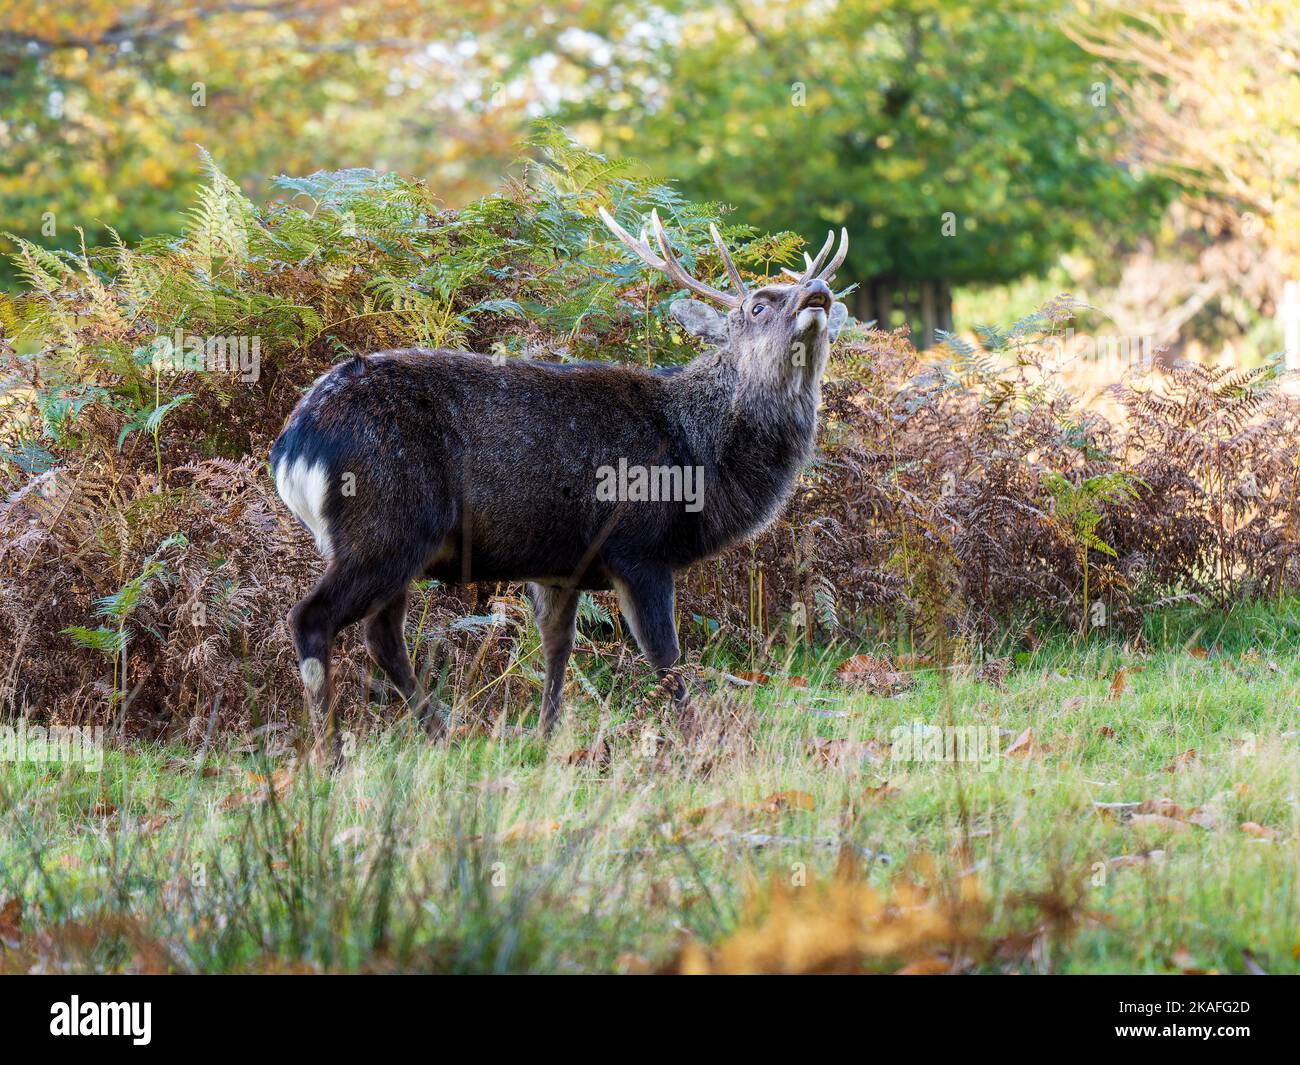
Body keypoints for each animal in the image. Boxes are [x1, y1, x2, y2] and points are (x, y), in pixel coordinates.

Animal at [271, 208, 848, 746]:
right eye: (758, 305)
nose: (817, 292)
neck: (697, 457)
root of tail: (293, 446)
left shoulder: (560, 564)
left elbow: (556, 646)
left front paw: (547, 736)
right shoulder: (637, 546)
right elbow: (666, 656)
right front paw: (693, 739)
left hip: (395, 542)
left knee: (382, 635)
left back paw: (439, 734)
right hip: (385, 525)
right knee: (313, 618)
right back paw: (332, 755)